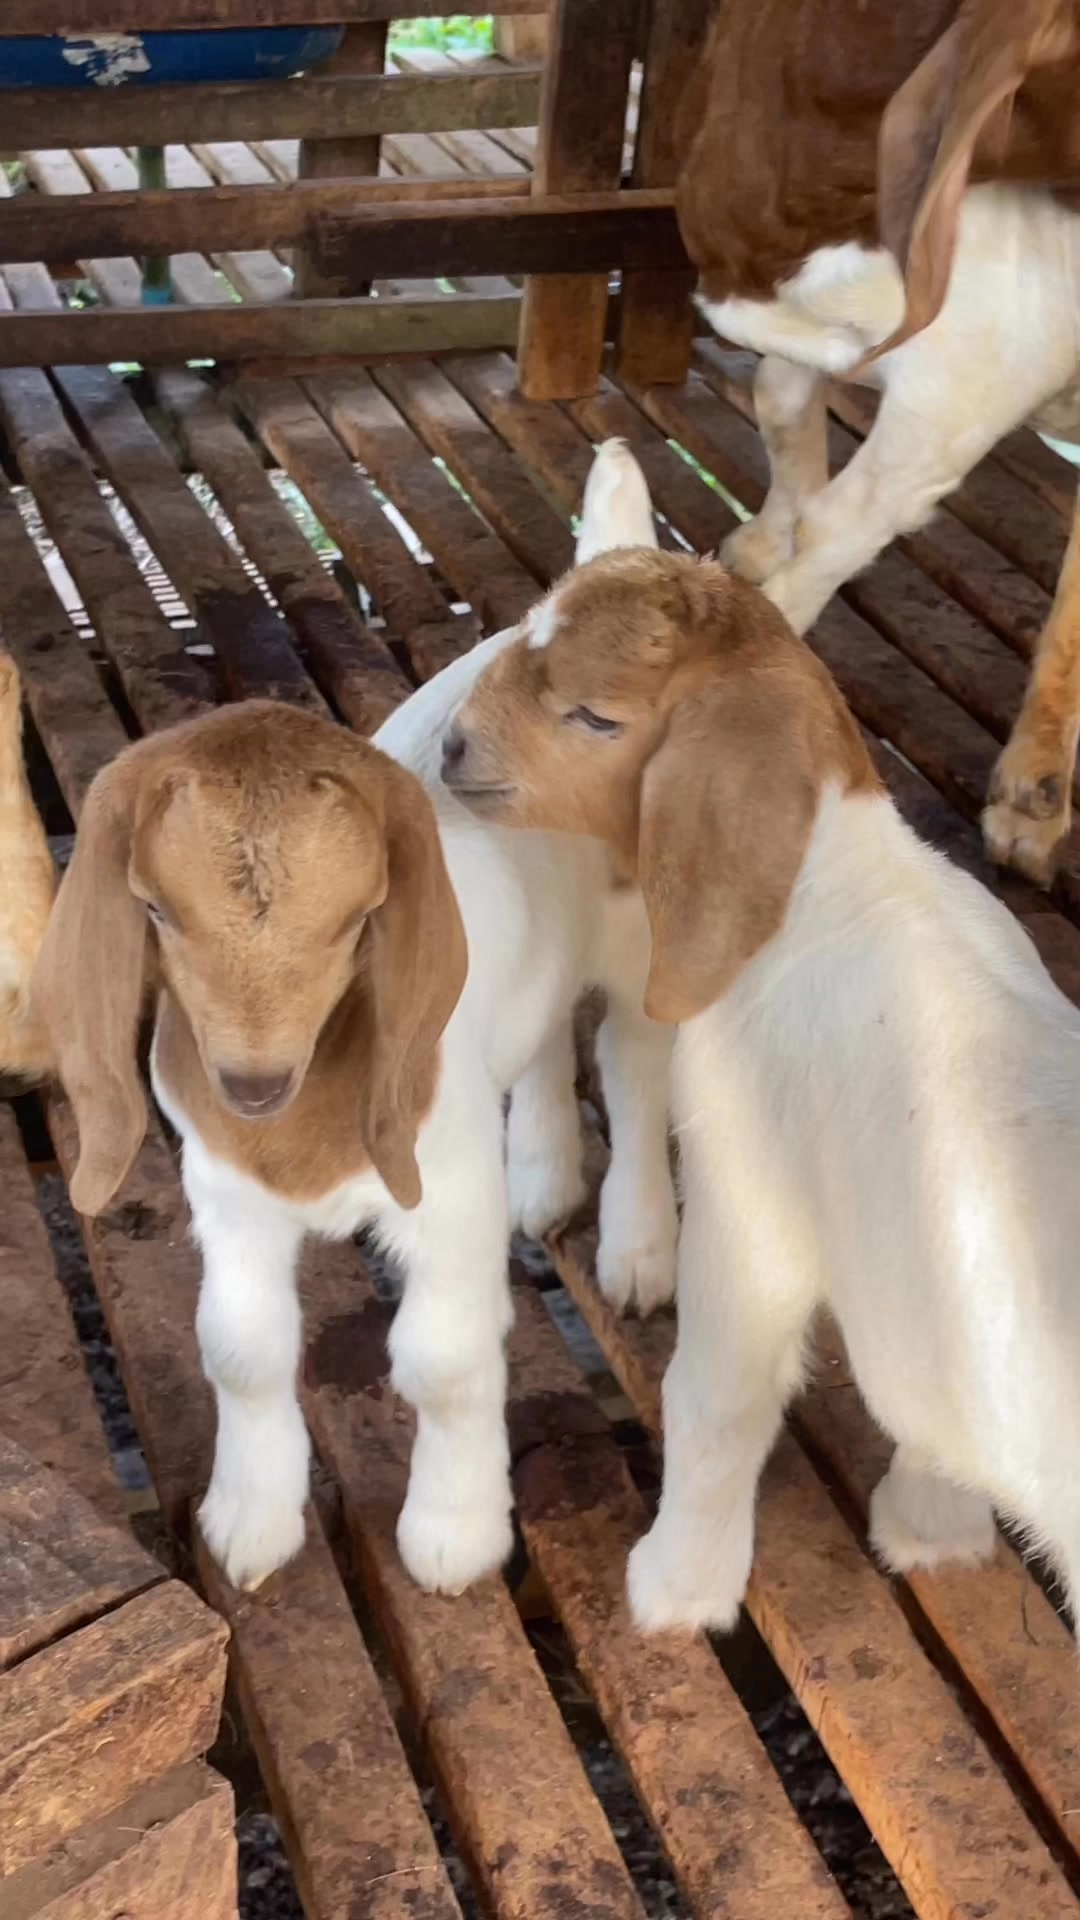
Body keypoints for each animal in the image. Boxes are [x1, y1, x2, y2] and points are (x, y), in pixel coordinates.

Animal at [23, 441, 676, 1595]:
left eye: (361, 917)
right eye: (156, 910)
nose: (252, 1083)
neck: (302, 1137)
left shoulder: (444, 1185)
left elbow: (444, 1359)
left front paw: (455, 1535)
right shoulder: (224, 1188)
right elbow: (240, 1350)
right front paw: (249, 1522)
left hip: (639, 932)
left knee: (633, 1060)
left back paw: (639, 1251)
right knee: (545, 1031)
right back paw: (544, 1176)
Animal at [444, 492, 1080, 1635]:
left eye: (595, 717)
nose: (452, 747)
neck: (834, 882)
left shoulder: (751, 1202)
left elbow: (716, 1401)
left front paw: (676, 1591)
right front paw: (931, 1527)